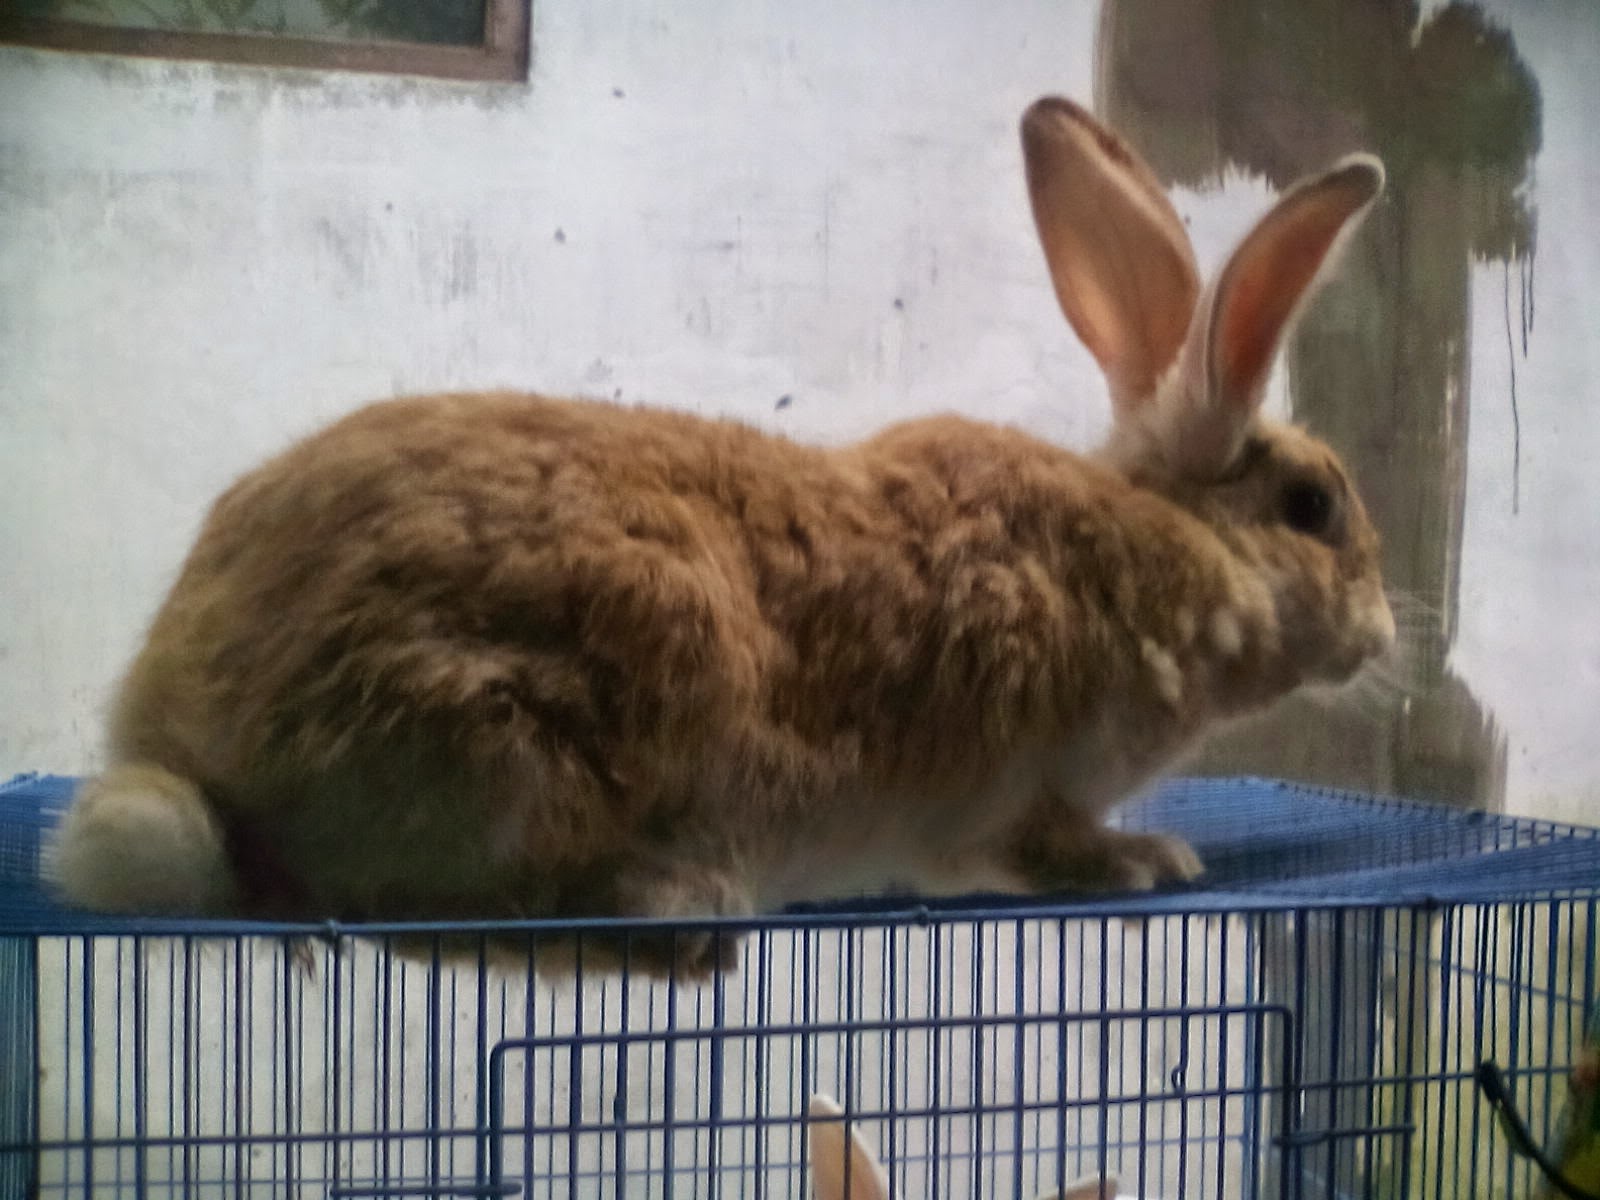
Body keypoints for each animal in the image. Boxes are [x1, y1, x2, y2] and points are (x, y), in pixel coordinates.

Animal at [51, 96, 1393, 975]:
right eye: (1313, 506)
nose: (1385, 636)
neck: (1176, 540)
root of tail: (188, 753)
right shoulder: (1022, 792)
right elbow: (1043, 849)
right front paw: (1151, 861)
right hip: (534, 728)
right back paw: (683, 906)